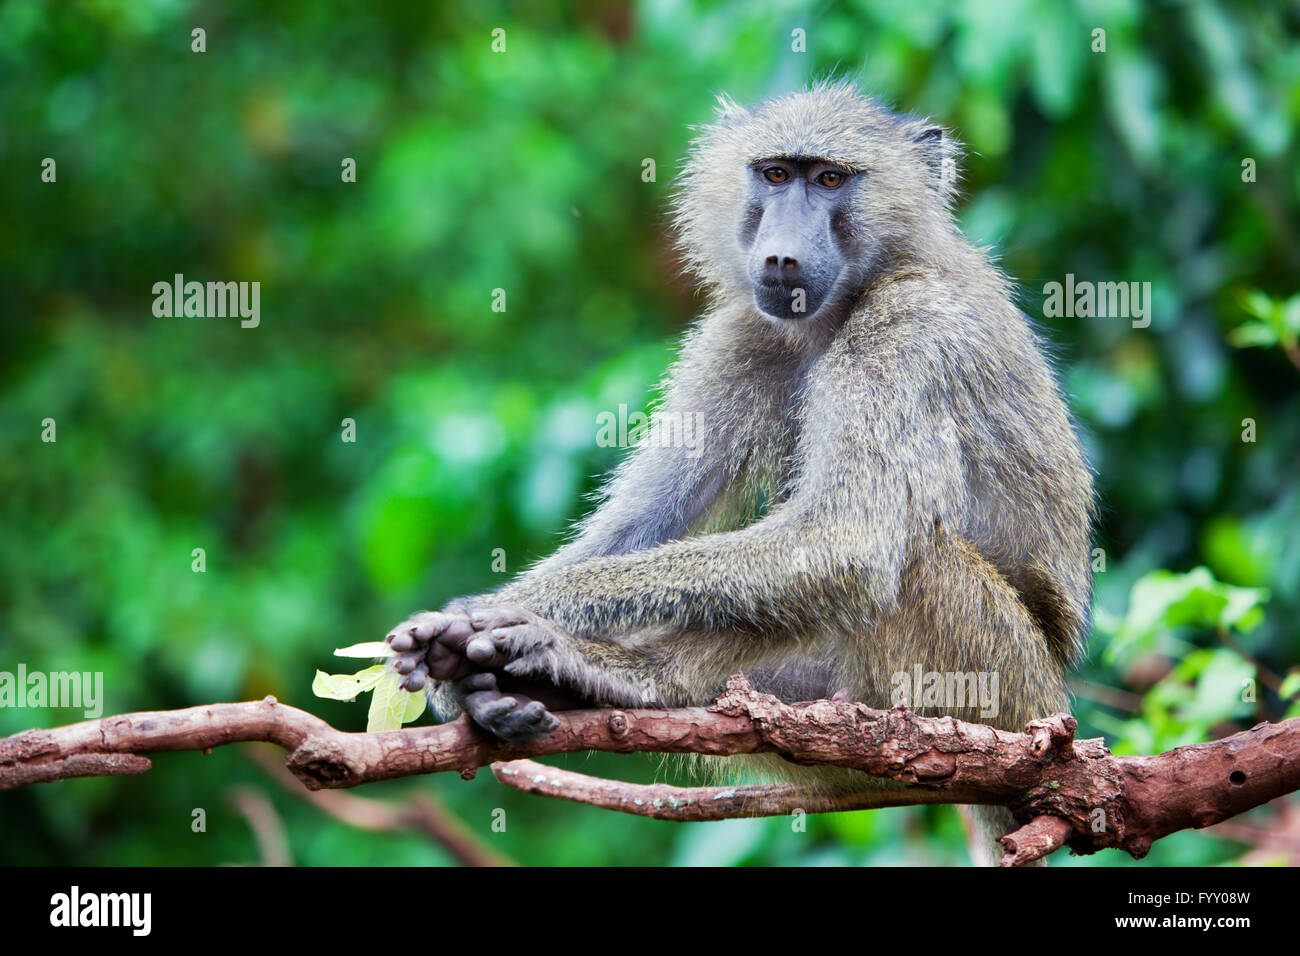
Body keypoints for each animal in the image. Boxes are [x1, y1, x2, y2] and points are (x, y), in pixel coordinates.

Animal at [385, 81, 1095, 865]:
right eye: (776, 175)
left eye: (831, 179)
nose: (781, 256)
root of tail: (1051, 703)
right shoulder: (739, 334)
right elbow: (638, 529)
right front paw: (467, 645)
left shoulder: (912, 329)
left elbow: (844, 542)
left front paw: (498, 615)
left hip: (1001, 694)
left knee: (908, 560)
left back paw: (607, 674)